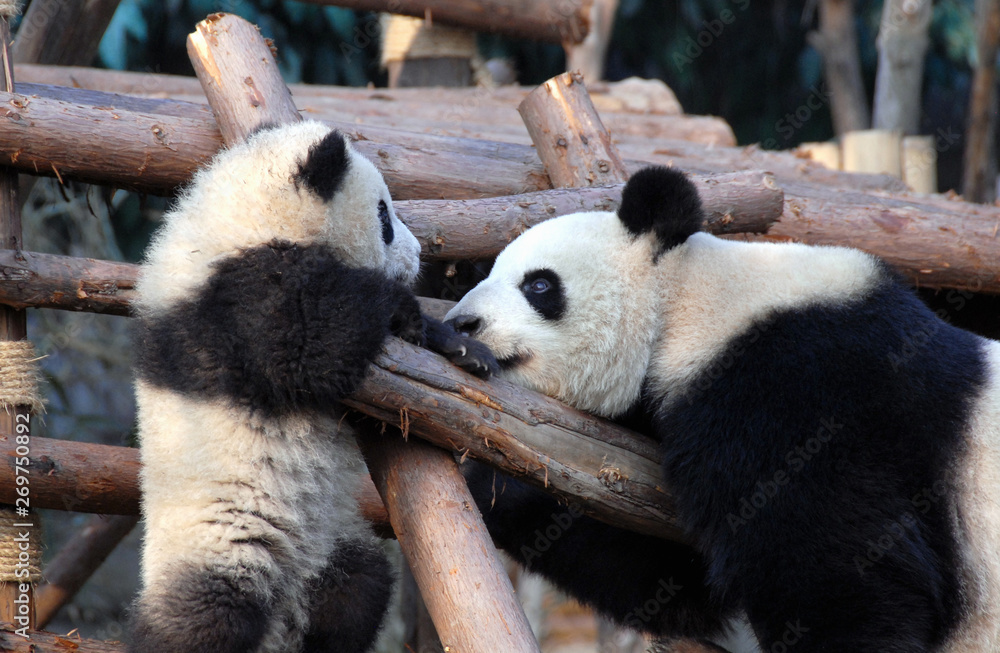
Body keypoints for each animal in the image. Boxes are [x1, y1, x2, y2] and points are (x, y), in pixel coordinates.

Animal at [129, 120, 494, 653]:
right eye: (384, 216)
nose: (419, 255)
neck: (239, 221)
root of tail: (286, 607)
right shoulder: (234, 302)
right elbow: (309, 343)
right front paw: (403, 309)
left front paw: (464, 348)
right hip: (217, 539)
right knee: (206, 619)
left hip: (336, 540)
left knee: (358, 591)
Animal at [445, 166, 1000, 652]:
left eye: (538, 284)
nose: (460, 324)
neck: (686, 306)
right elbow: (676, 580)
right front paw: (496, 486)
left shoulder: (800, 393)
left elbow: (835, 564)